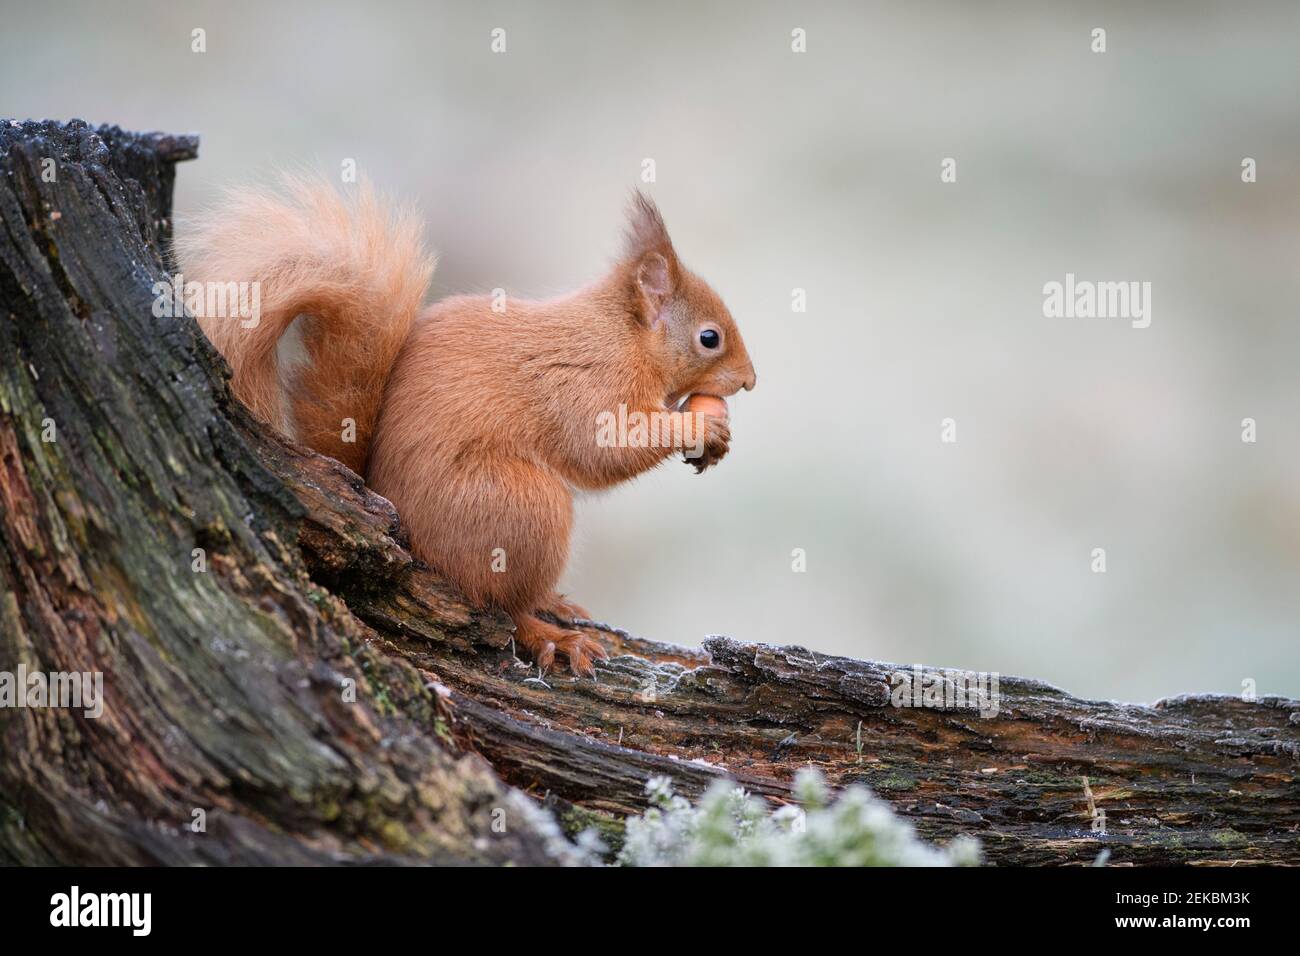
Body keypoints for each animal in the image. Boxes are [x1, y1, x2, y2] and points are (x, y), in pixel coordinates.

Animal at [176, 177, 756, 675]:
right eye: (709, 338)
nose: (751, 382)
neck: (624, 337)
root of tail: (404, 527)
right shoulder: (587, 383)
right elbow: (604, 448)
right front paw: (697, 429)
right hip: (522, 508)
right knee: (504, 606)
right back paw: (552, 635)